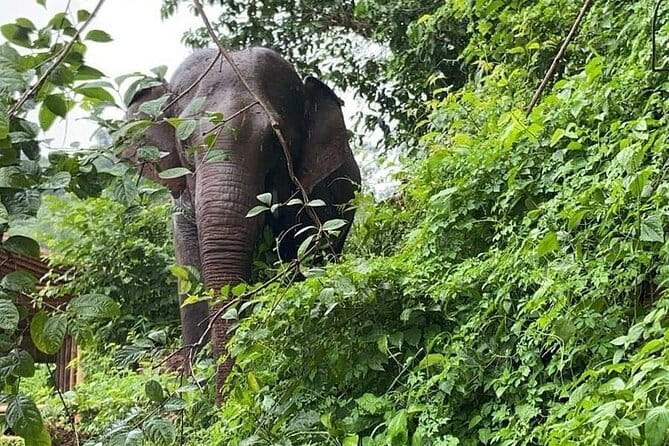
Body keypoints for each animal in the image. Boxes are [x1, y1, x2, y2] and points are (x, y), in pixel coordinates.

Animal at [123, 47, 361, 397]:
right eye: (184, 144)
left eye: (276, 140)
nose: (225, 400)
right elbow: (191, 274)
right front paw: (194, 388)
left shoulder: (310, 200)